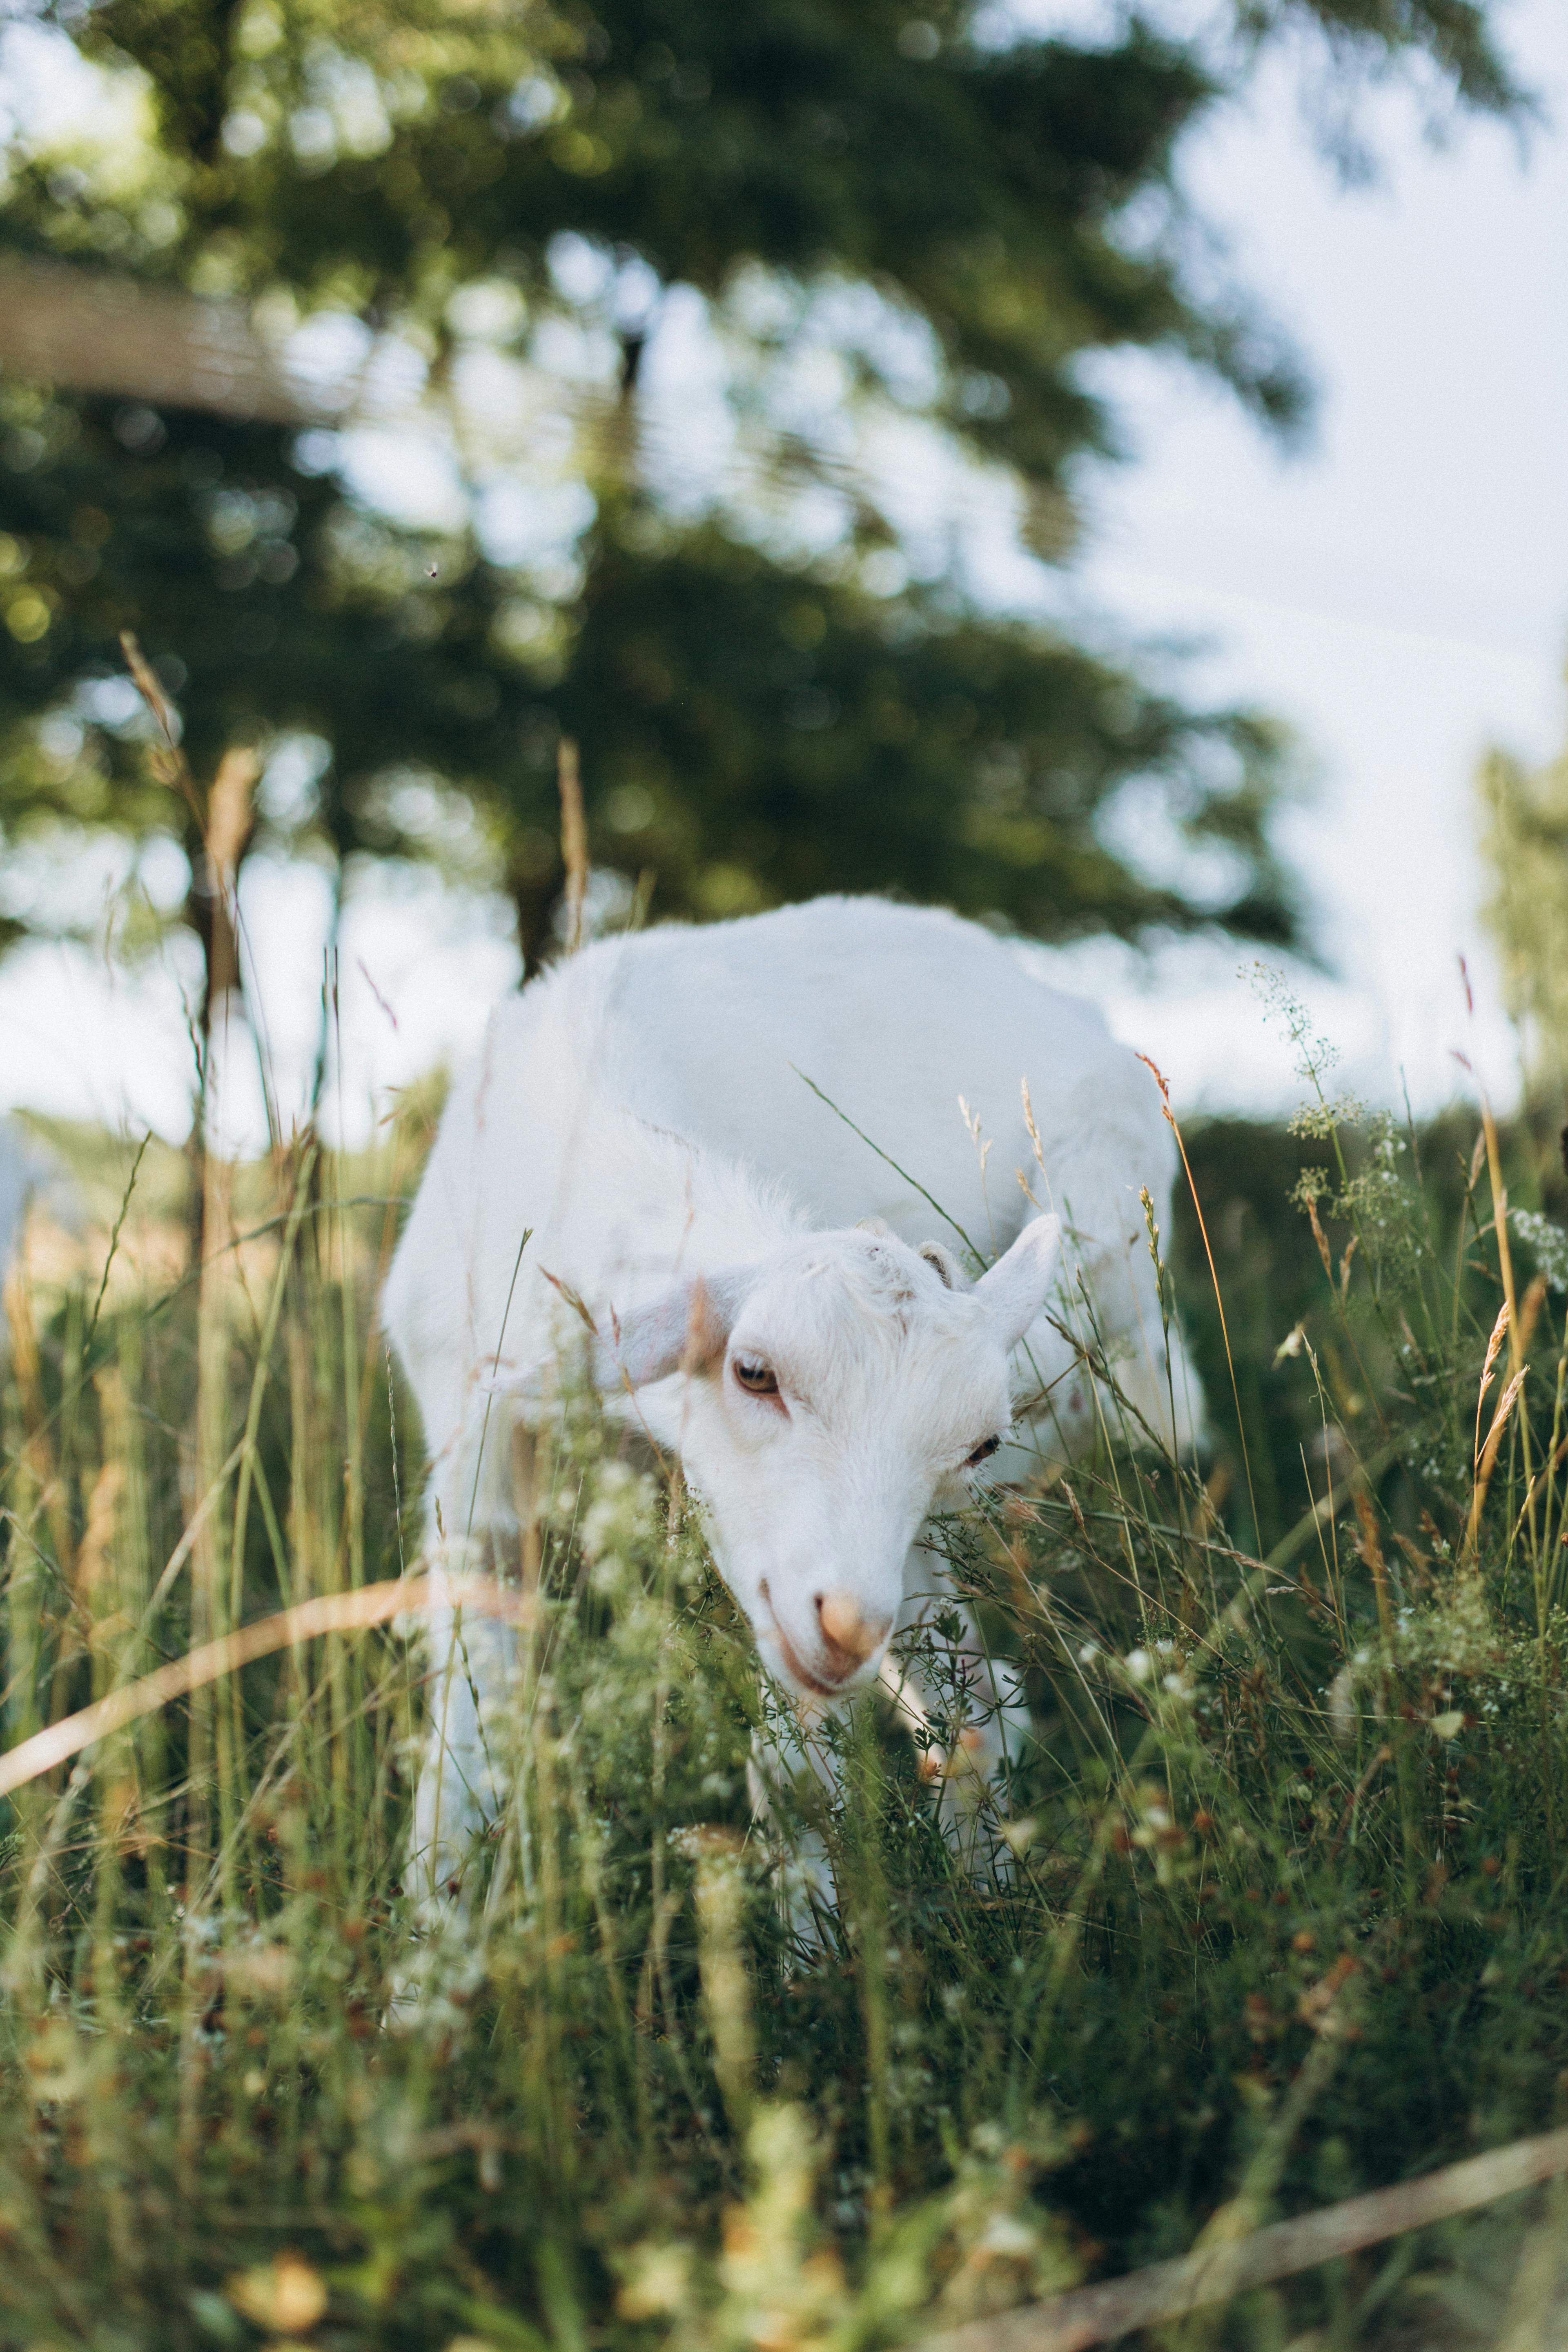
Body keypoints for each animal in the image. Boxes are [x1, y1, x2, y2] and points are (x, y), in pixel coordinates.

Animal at [382, 896, 1202, 1912]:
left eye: (977, 1443)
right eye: (753, 1373)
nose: (847, 1628)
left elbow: (797, 1761)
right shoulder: (474, 1462)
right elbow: (463, 1743)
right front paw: (437, 1924)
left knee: (972, 1691)